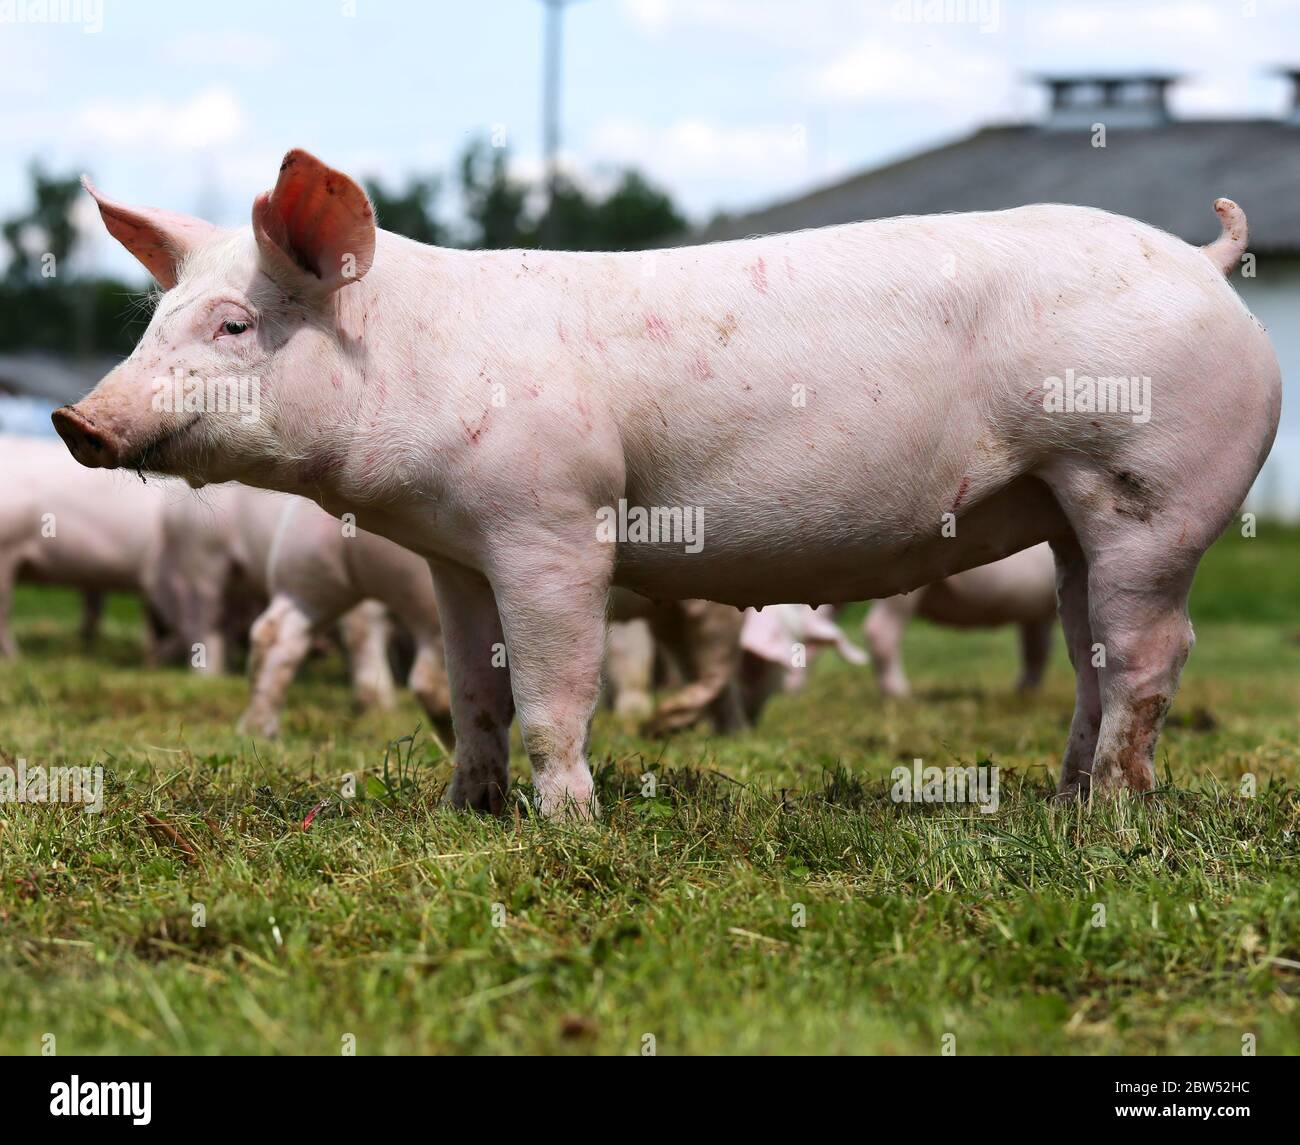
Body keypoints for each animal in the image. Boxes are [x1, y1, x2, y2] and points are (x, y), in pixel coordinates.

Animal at [0, 434, 172, 658]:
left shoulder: (98, 578)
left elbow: (95, 607)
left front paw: (87, 643)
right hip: (6, 547)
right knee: (5, 608)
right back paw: (15, 657)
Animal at [863, 543, 1058, 698]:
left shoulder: (1038, 613)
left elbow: (1035, 650)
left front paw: (1024, 691)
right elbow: (1041, 649)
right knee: (879, 630)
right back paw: (903, 694)